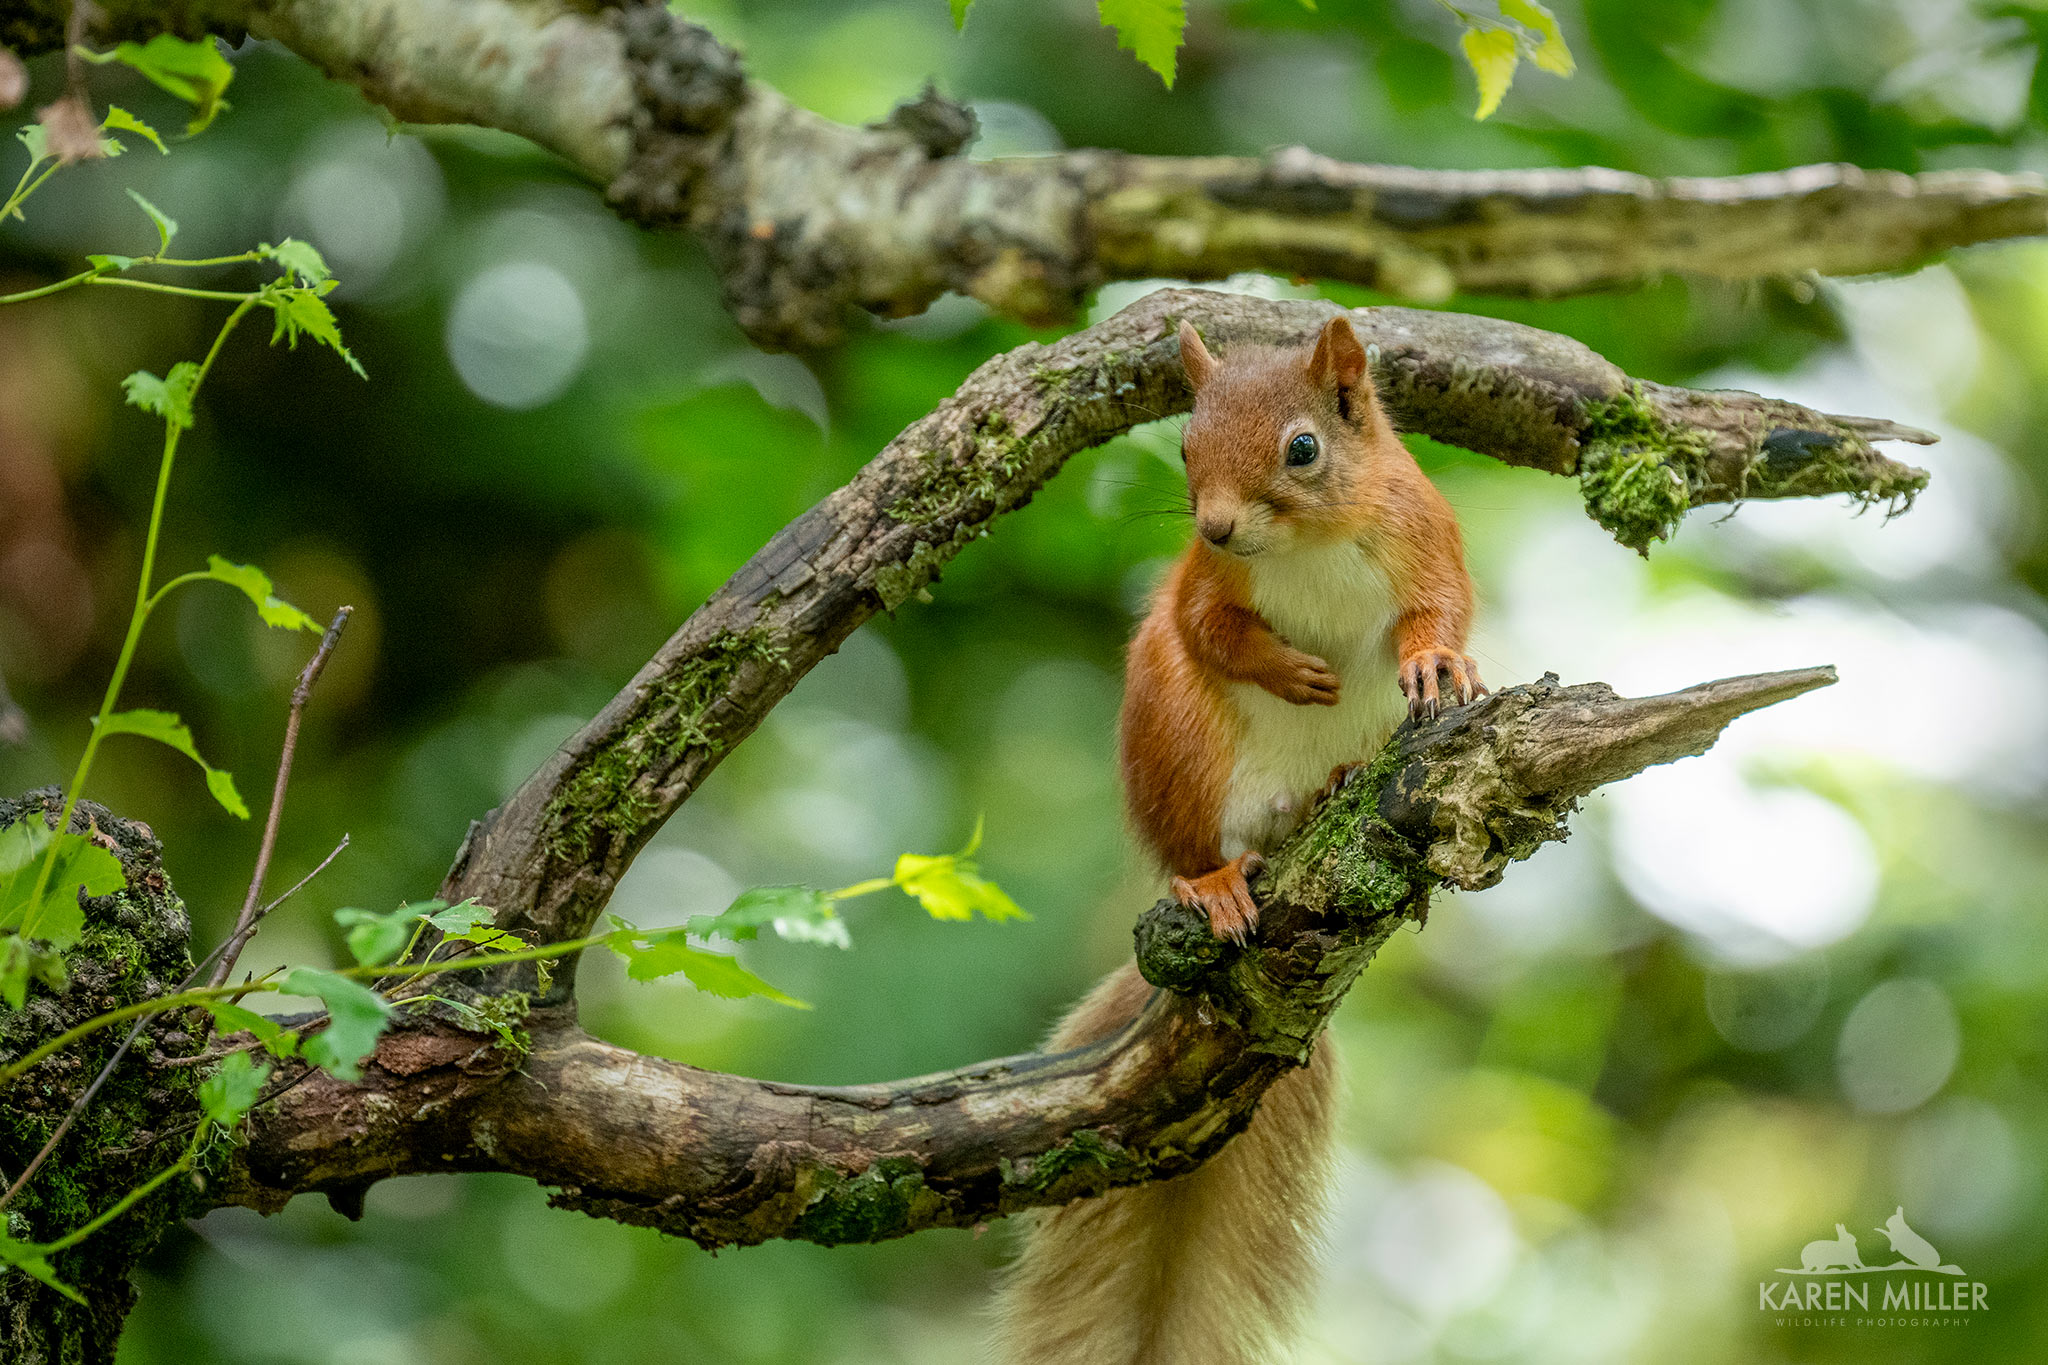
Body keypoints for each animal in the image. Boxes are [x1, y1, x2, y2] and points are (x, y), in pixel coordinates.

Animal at [993, 314, 1484, 1365]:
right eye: (1183, 447)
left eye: (1303, 447)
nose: (1216, 526)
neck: (1309, 545)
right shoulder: (1202, 586)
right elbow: (1208, 627)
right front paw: (1287, 668)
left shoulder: (1425, 537)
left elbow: (1440, 611)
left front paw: (1438, 661)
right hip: (1177, 738)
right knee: (1195, 843)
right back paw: (1215, 881)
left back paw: (1336, 786)